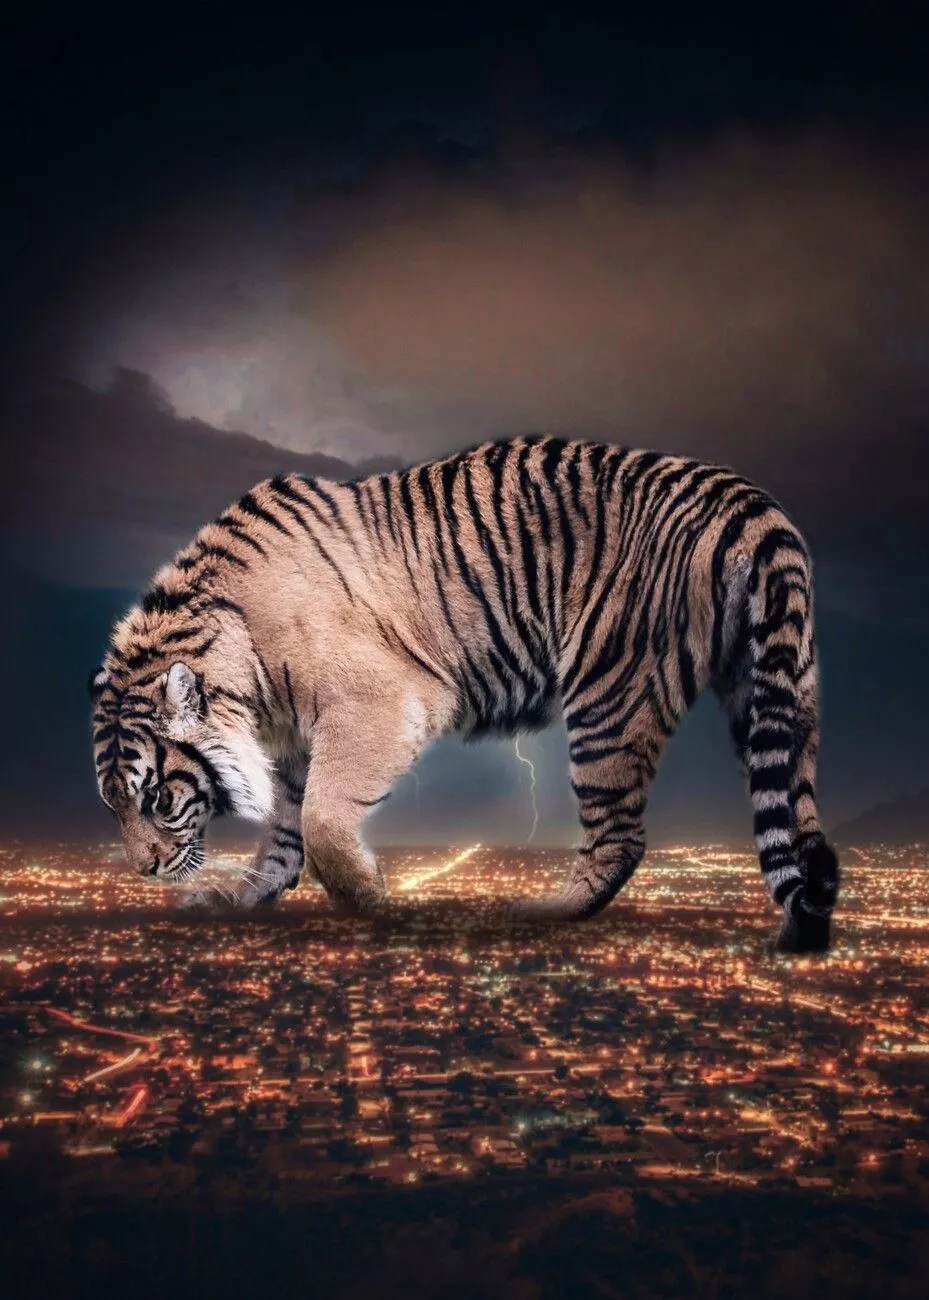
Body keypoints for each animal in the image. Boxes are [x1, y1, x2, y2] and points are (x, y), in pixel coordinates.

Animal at [90, 435, 840, 953]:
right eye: (113, 806)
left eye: (157, 799)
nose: (145, 871)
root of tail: (748, 503)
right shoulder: (294, 742)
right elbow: (282, 827)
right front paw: (241, 895)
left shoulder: (379, 701)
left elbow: (322, 818)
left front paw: (369, 899)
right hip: (774, 691)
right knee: (794, 815)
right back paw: (803, 924)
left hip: (608, 693)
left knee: (620, 835)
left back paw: (546, 912)